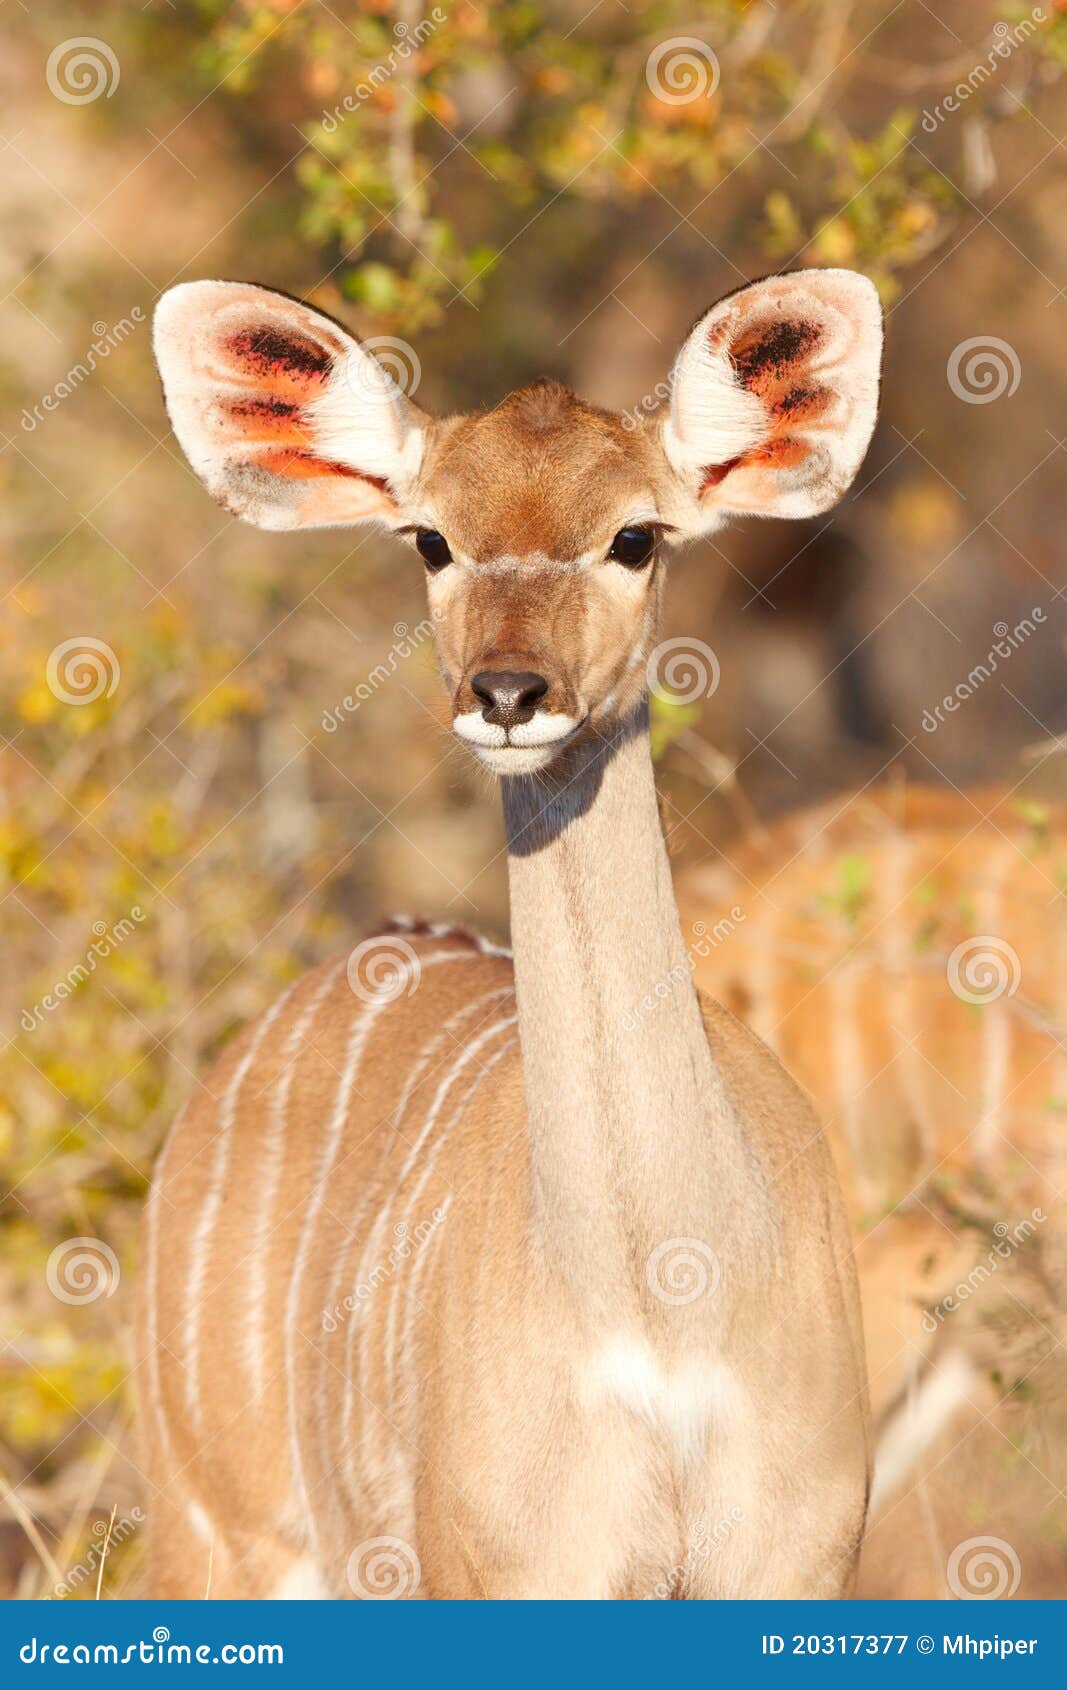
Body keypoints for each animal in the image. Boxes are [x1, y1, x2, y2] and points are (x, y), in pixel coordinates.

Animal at [140, 267, 883, 1599]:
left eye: (635, 536)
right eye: (429, 538)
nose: (504, 693)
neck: (657, 1302)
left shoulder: (793, 1564)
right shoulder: (513, 1573)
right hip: (213, 1536)